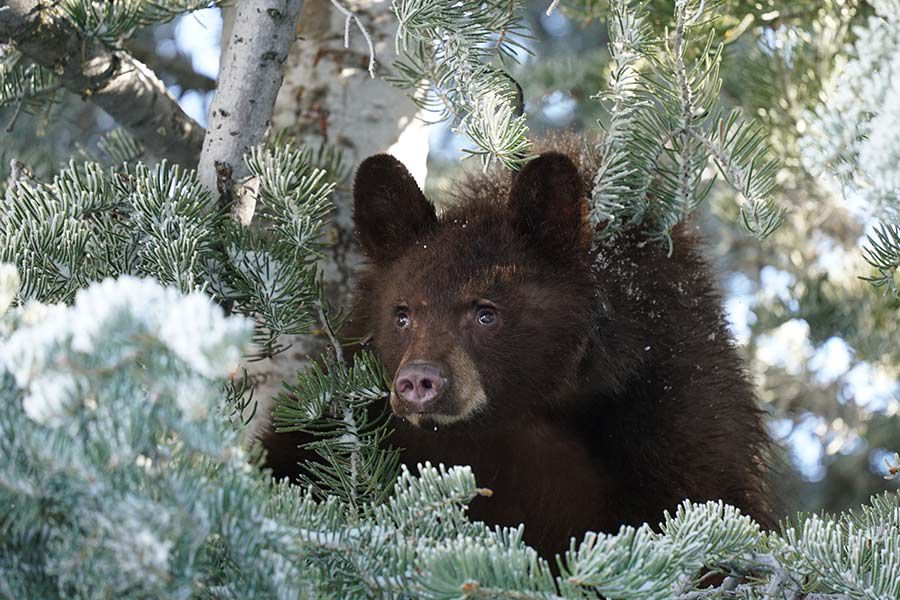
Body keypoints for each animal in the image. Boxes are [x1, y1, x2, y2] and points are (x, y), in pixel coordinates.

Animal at [261, 138, 773, 560]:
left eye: (486, 312)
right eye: (402, 314)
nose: (418, 381)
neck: (520, 417)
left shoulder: (675, 408)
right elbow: (291, 455)